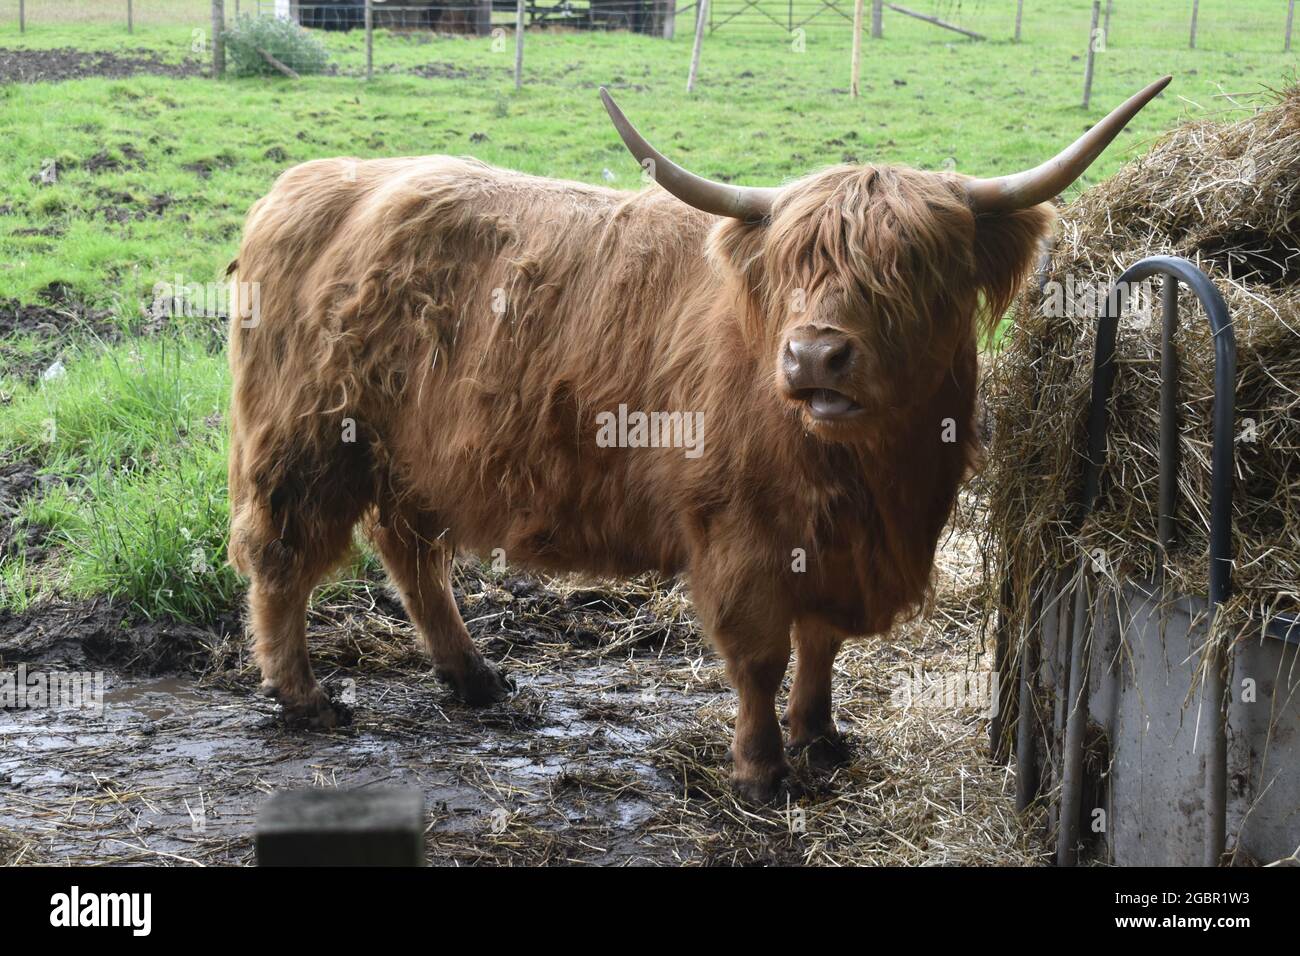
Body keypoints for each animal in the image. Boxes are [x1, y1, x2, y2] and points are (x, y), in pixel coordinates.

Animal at [226, 78, 1169, 801]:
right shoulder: (739, 537)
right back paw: (304, 696)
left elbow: (819, 645)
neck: (867, 480)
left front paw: (821, 737)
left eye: (914, 266)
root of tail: (320, 182)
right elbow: (758, 656)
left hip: (412, 459)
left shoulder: (838, 551)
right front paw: (762, 770)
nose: (814, 354)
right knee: (282, 558)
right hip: (312, 441)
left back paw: (474, 677)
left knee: (410, 553)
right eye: (794, 264)